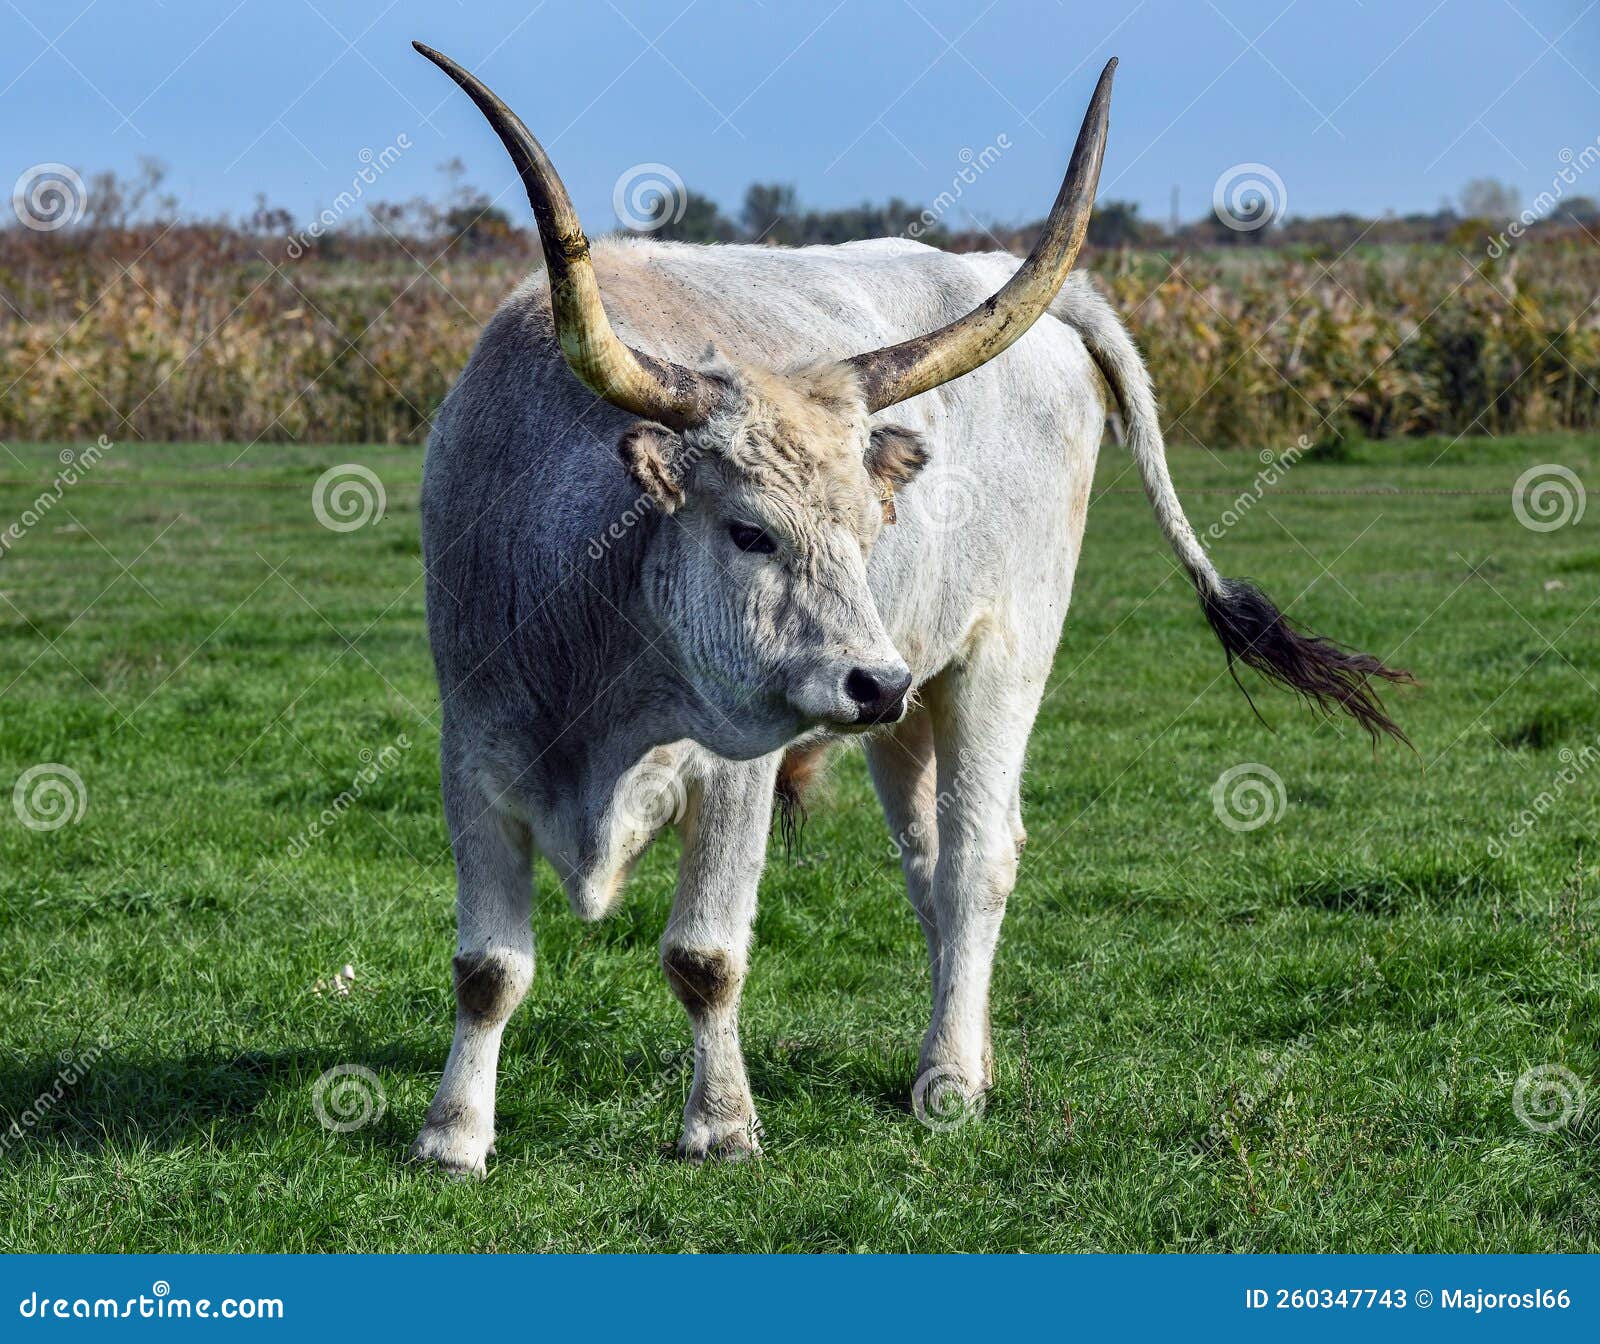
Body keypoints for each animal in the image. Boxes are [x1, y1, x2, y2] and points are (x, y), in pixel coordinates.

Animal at [407, 43, 1411, 1175]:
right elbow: (487, 968)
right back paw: (965, 1051)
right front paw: (453, 1135)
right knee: (930, 865)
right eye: (748, 531)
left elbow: (705, 955)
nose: (869, 678)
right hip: (911, 700)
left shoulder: (735, 767)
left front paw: (723, 1124)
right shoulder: (472, 753)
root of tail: (993, 270)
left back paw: (948, 1081)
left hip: (999, 657)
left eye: (864, 526)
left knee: (977, 859)